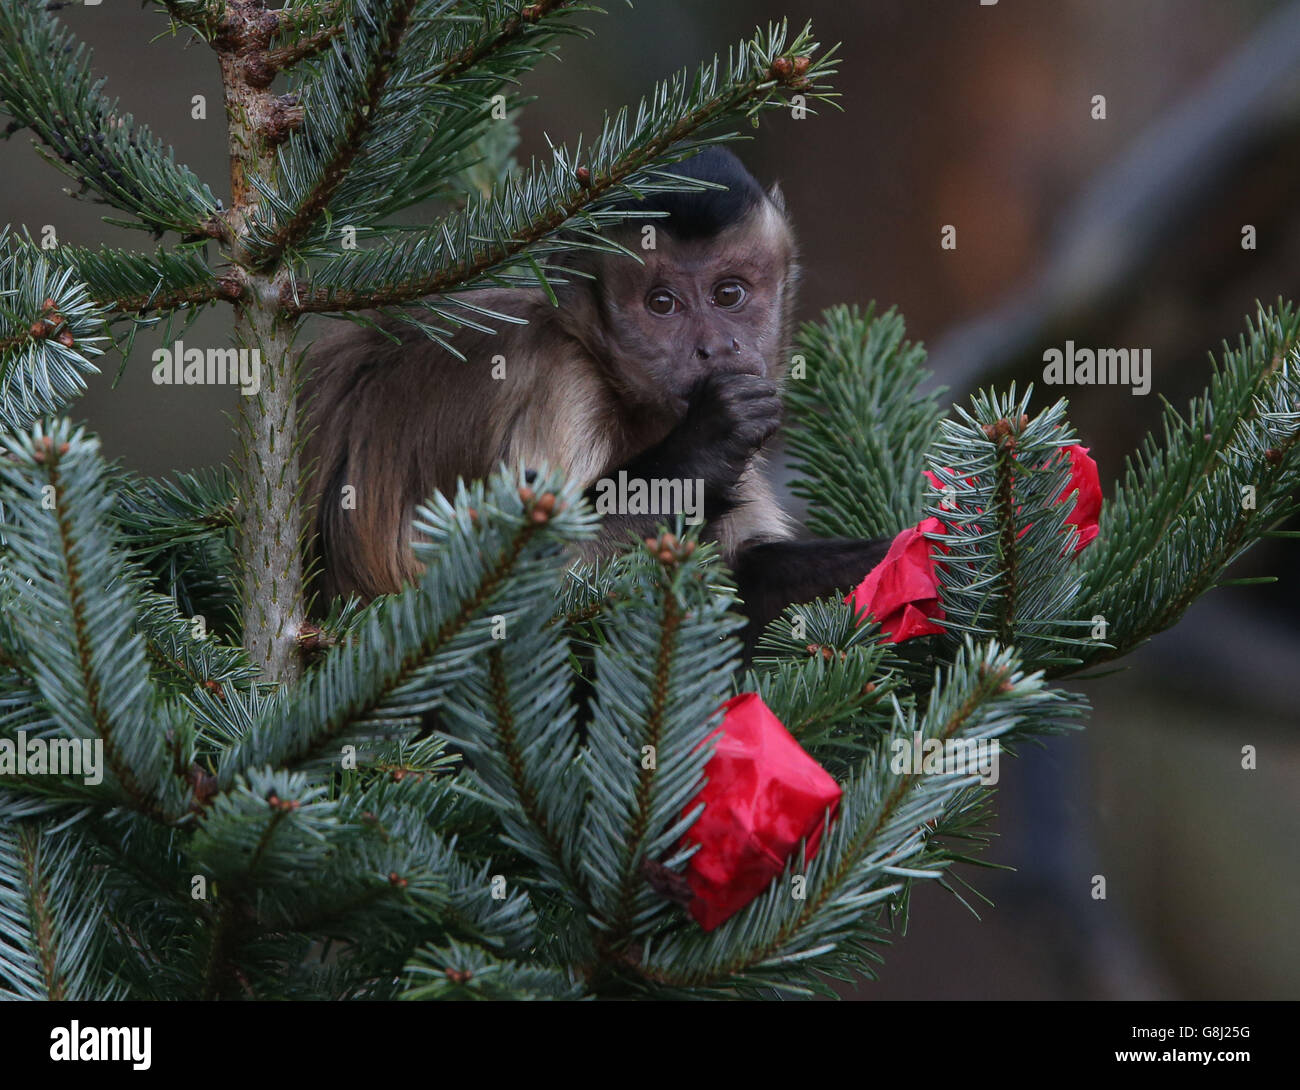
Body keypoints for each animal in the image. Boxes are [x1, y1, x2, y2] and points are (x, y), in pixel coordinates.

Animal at [301, 147, 887, 651]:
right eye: (661, 304)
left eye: (729, 294)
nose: (717, 348)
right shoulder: (559, 378)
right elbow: (517, 583)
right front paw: (707, 441)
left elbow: (745, 572)